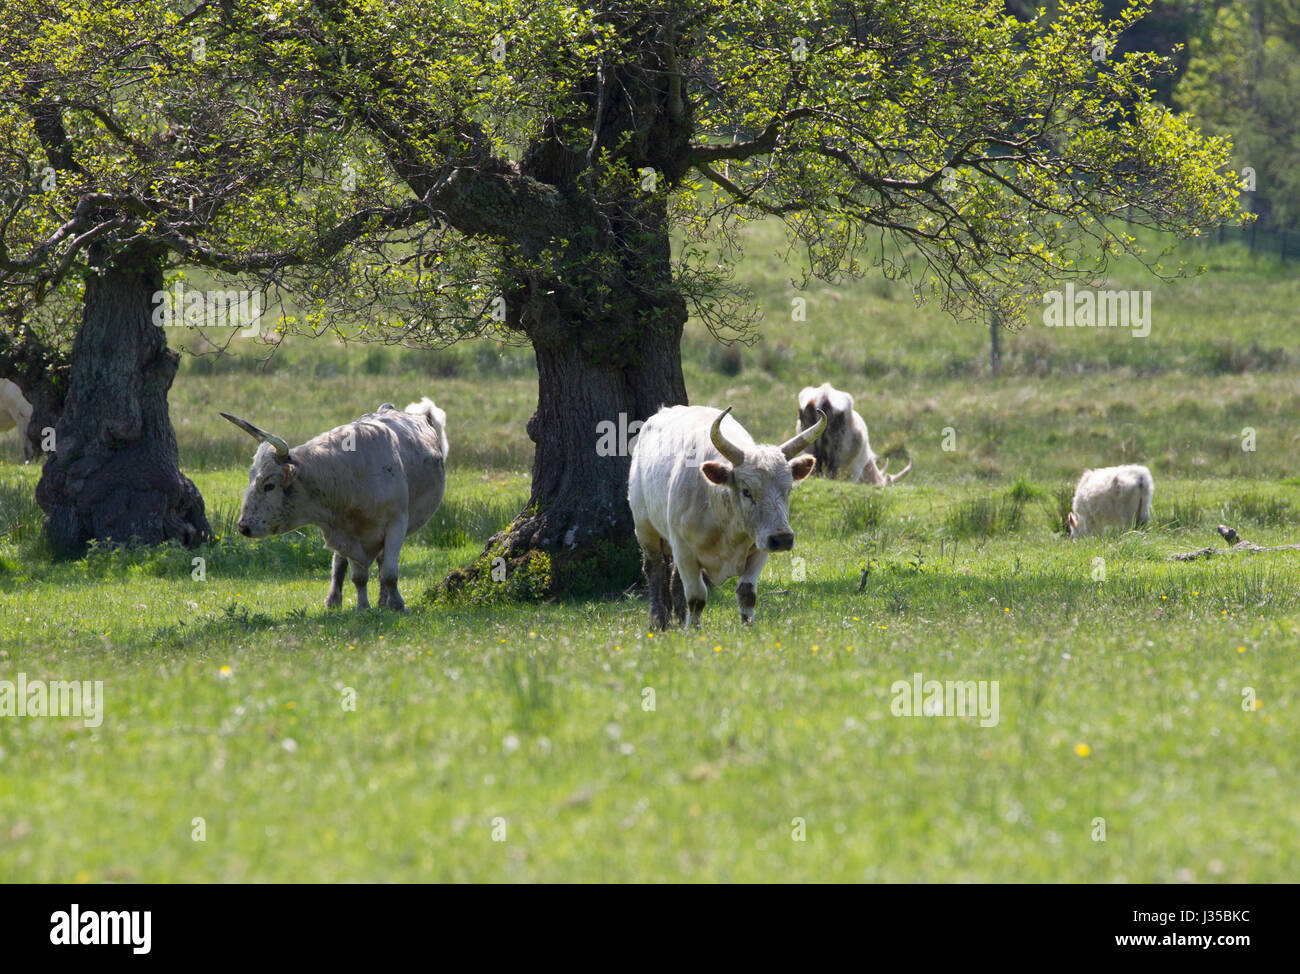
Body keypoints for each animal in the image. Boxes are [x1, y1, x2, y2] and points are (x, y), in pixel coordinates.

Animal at [222, 399, 448, 610]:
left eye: (269, 485)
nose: (243, 526)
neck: (350, 476)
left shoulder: (396, 524)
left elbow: (389, 573)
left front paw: (397, 604)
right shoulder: (350, 534)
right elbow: (359, 577)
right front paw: (362, 607)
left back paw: (383, 600)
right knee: (339, 564)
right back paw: (334, 600)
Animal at [628, 404, 826, 629]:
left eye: (788, 489)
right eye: (746, 491)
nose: (782, 538)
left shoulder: (759, 550)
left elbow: (747, 593)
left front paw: (747, 627)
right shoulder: (684, 549)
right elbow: (696, 596)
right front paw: (693, 630)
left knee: (674, 577)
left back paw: (678, 616)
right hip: (644, 527)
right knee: (654, 568)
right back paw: (658, 619)